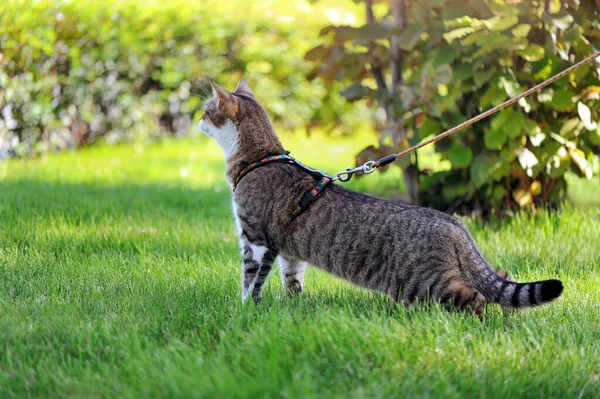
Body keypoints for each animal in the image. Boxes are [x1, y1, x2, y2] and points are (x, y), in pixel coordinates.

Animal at [200, 79, 564, 316]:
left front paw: (246, 309)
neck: (261, 157)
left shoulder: (256, 237)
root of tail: (454, 223)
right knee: (500, 280)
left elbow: (250, 280)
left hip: (424, 282)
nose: (198, 118)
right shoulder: (287, 249)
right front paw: (292, 305)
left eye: (207, 109)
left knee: (473, 296)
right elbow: (292, 280)